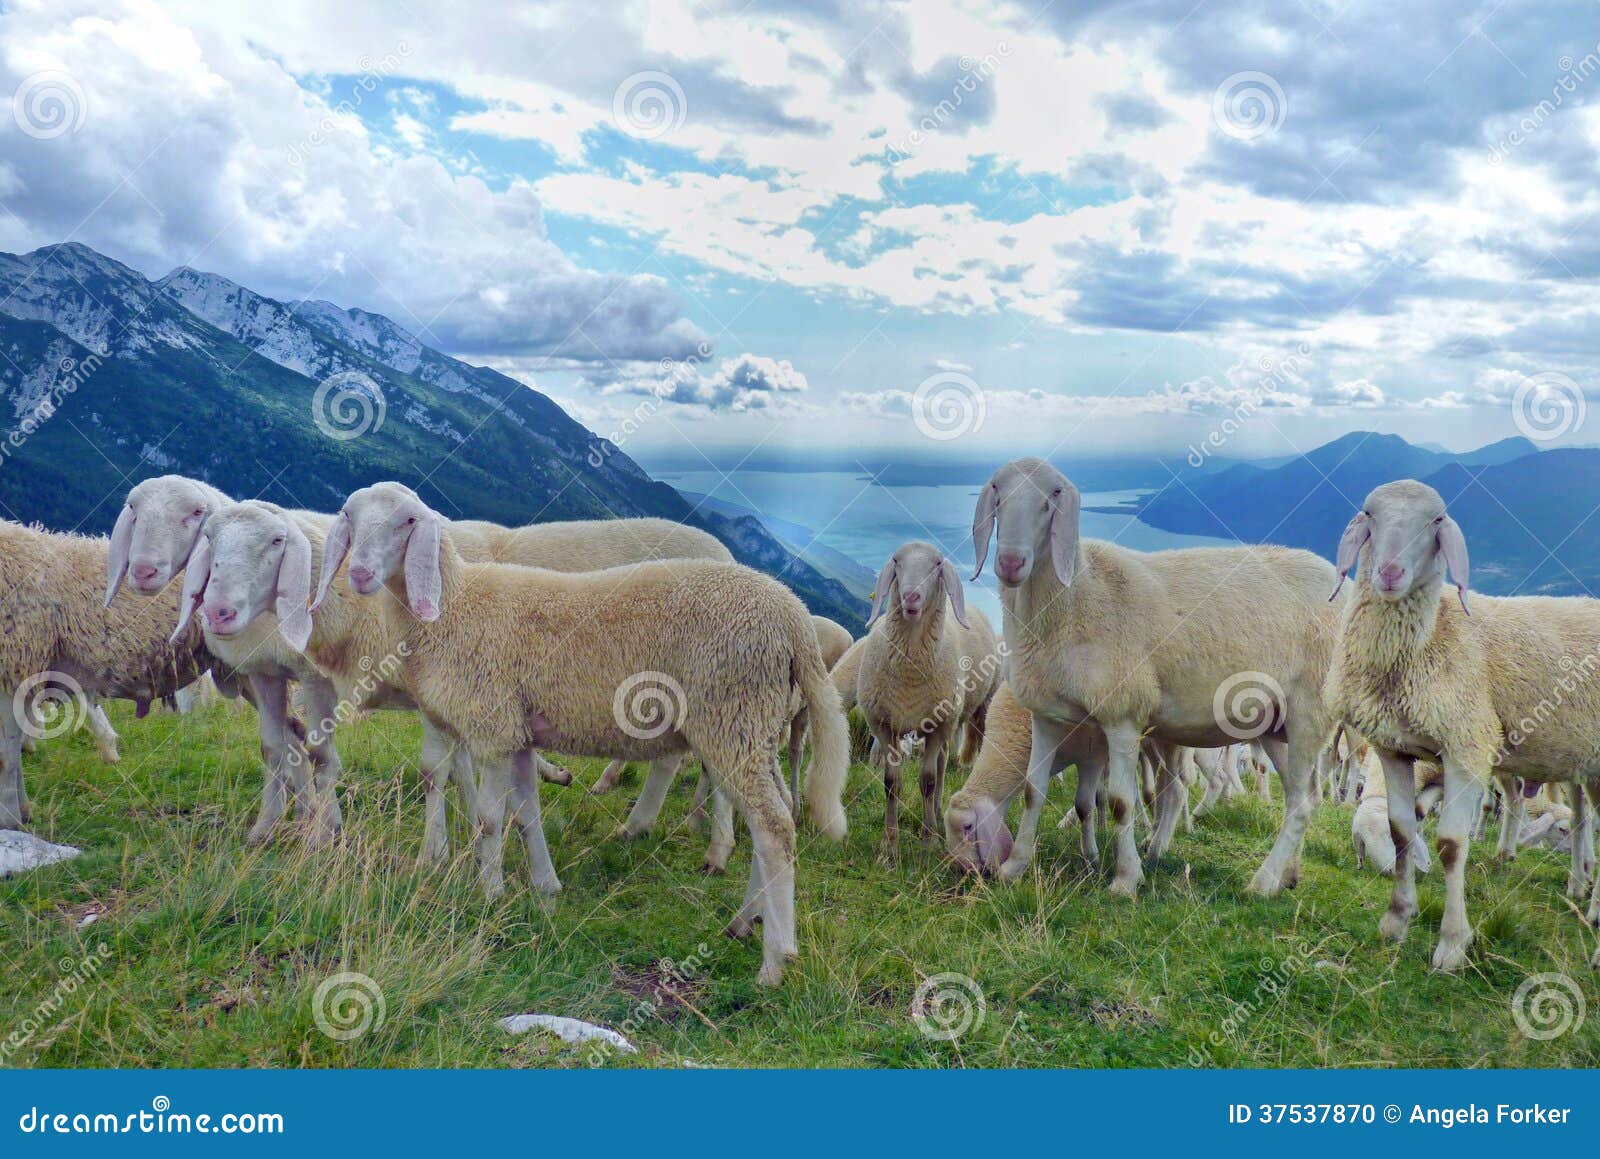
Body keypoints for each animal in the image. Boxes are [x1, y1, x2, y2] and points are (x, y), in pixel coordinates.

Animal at [312, 482, 849, 986]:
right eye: (349, 516)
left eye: (407, 520)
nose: (359, 575)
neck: (455, 606)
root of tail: (794, 617)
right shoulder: (517, 733)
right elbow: (526, 813)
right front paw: (544, 887)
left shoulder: (492, 726)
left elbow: (489, 819)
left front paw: (489, 892)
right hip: (754, 726)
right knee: (776, 815)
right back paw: (746, 920)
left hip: (731, 714)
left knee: (772, 825)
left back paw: (774, 960)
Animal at [856, 541, 1000, 856]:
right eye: (896, 561)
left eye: (936, 565)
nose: (911, 596)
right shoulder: (884, 725)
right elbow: (891, 783)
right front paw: (889, 844)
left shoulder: (938, 725)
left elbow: (928, 781)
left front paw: (929, 840)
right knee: (943, 762)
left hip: (972, 710)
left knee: (943, 769)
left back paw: (936, 816)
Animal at [970, 458, 1341, 898]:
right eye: (996, 489)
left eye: (1054, 495)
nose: (1011, 563)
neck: (1074, 596)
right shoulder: (1047, 715)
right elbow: (1033, 790)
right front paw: (1014, 867)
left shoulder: (1123, 715)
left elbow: (1120, 801)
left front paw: (1125, 880)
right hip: (1274, 723)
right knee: (1305, 798)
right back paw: (1289, 875)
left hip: (1310, 710)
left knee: (1300, 802)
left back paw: (1263, 882)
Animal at [1323, 478, 1600, 971]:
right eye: (1370, 513)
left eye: (1436, 520)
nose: (1389, 573)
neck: (1430, 637)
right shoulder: (1393, 748)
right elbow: (1403, 831)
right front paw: (1397, 920)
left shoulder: (1466, 748)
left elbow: (1452, 845)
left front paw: (1452, 944)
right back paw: (1579, 887)